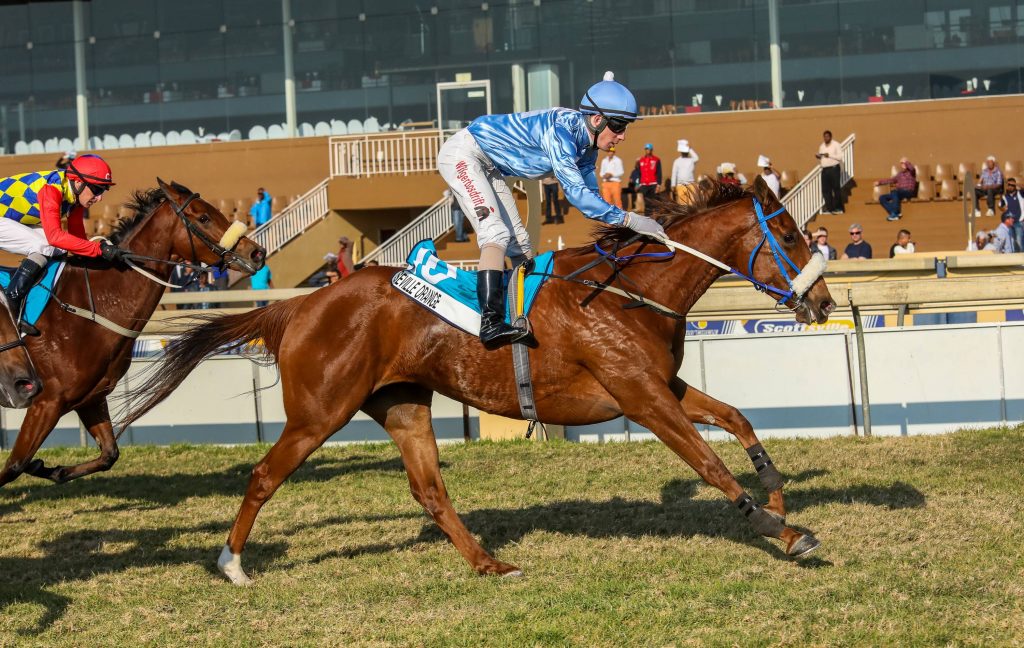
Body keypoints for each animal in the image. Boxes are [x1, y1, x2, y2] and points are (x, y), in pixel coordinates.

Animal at [0, 179, 266, 487]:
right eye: (204, 218)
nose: (257, 253)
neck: (90, 306)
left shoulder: (90, 397)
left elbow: (109, 454)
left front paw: (54, 470)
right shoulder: (46, 402)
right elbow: (14, 465)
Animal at [118, 177, 836, 585]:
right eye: (791, 233)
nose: (825, 301)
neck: (629, 290)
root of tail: (297, 306)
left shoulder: (665, 385)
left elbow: (738, 417)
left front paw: (776, 496)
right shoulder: (642, 396)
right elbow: (708, 462)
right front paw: (781, 531)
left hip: (402, 404)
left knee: (429, 490)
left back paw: (490, 563)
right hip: (320, 411)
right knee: (265, 475)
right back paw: (233, 565)